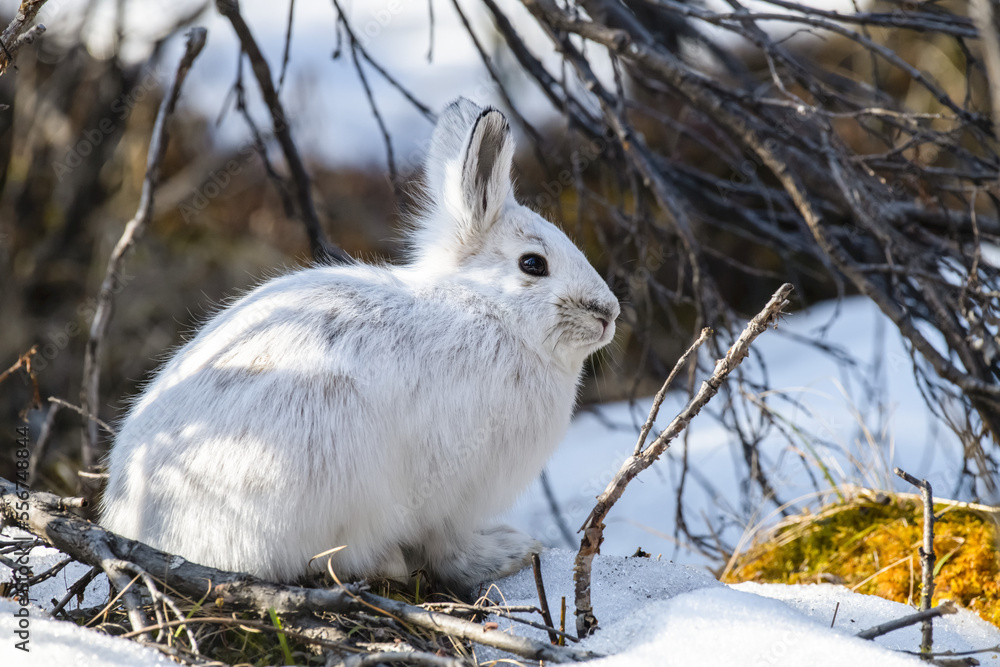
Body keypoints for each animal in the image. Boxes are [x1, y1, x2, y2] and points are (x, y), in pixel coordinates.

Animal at [99, 98, 620, 590]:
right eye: (533, 264)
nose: (609, 314)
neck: (487, 310)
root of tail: (142, 526)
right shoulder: (452, 490)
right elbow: (449, 546)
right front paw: (509, 553)